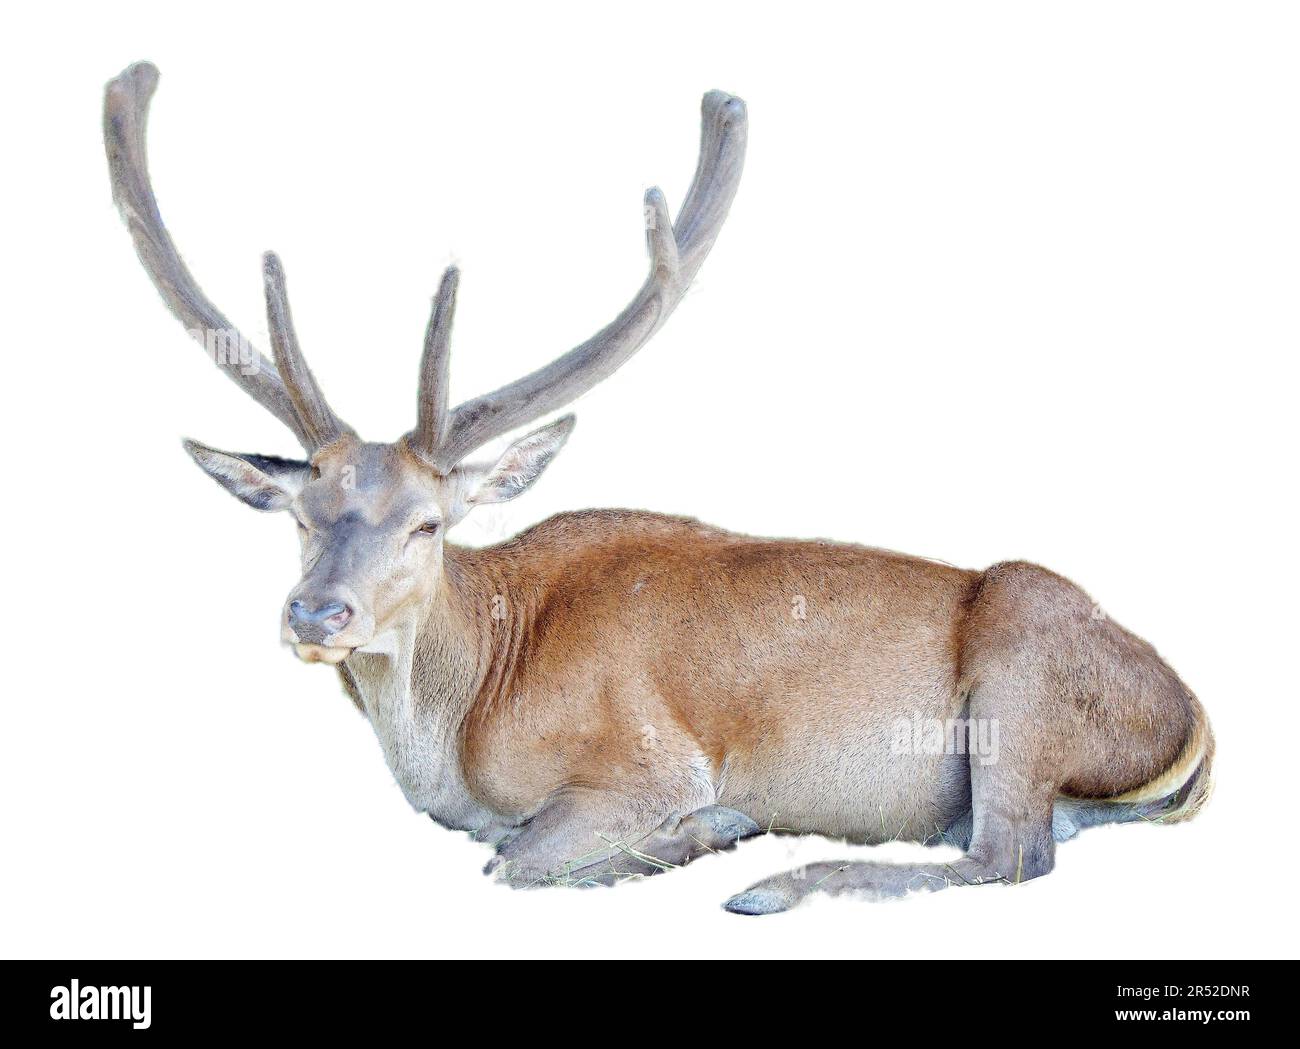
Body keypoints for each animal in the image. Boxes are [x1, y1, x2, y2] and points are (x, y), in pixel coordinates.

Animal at [104, 61, 1214, 914]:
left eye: (426, 524)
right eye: (300, 516)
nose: (314, 613)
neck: (460, 731)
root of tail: (1189, 712)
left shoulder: (648, 757)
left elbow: (515, 861)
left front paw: (691, 834)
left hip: (1022, 674)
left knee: (1010, 853)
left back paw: (771, 881)